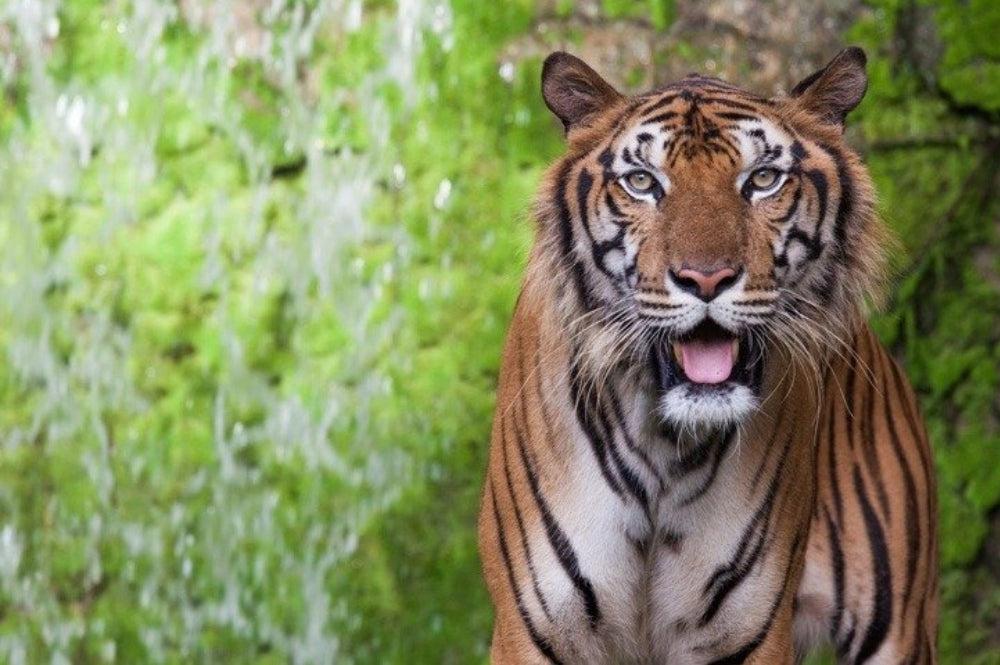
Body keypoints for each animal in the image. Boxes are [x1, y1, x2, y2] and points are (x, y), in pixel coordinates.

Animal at [477, 47, 937, 664]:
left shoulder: (748, 631)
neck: (664, 448)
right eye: (643, 182)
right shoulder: (535, 629)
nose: (706, 278)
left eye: (762, 179)